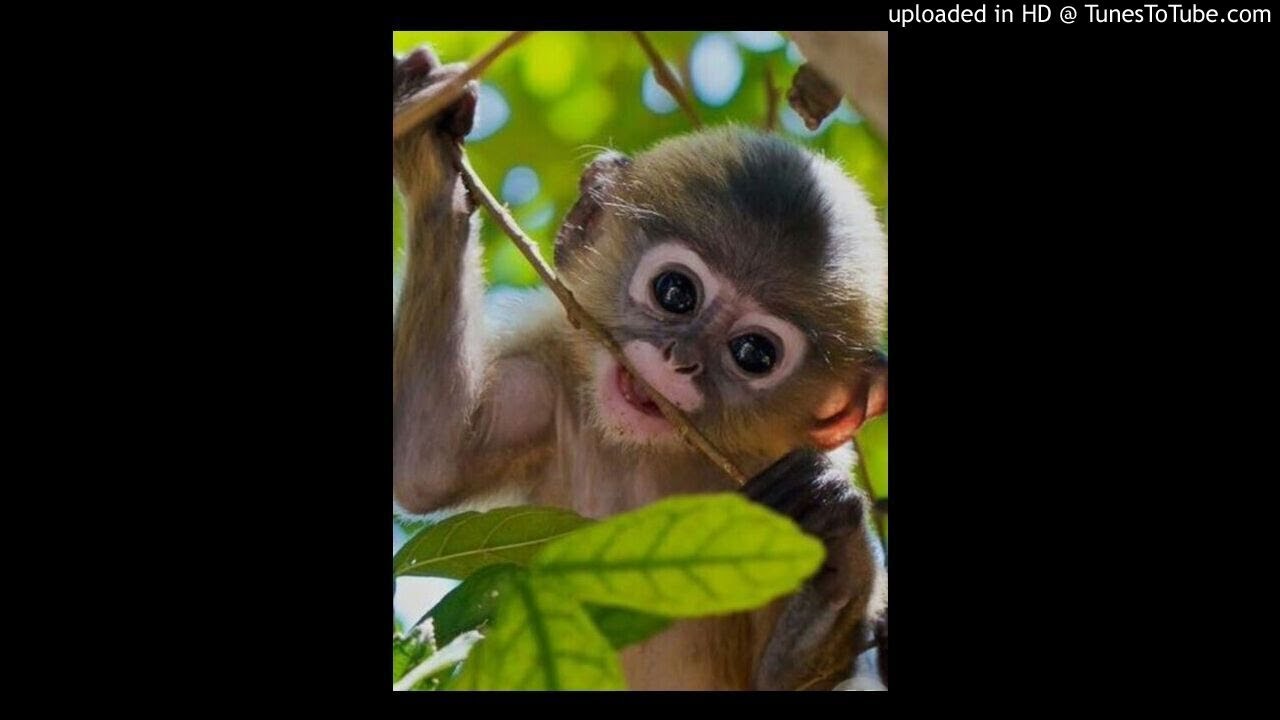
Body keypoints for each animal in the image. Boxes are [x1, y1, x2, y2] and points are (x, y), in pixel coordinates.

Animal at [392, 47, 888, 691]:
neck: (649, 453)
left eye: (754, 354)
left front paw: (833, 528)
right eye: (676, 292)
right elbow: (427, 460)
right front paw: (429, 144)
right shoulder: (551, 368)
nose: (682, 358)